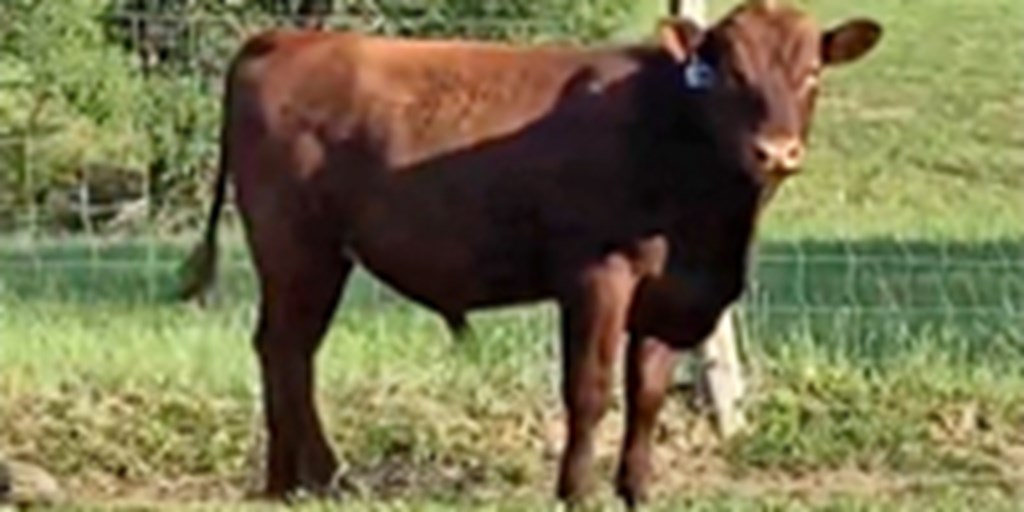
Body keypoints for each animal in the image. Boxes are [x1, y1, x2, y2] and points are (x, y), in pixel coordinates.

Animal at [177, 0, 881, 506]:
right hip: (297, 249)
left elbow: (647, 393)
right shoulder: (599, 275)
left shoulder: (669, 294)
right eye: (733, 74)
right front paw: (577, 493)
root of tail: (287, 39)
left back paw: (298, 480)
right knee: (285, 350)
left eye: (812, 74)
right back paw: (310, 477)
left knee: (290, 351)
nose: (777, 151)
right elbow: (590, 389)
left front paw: (637, 490)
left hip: (318, 257)